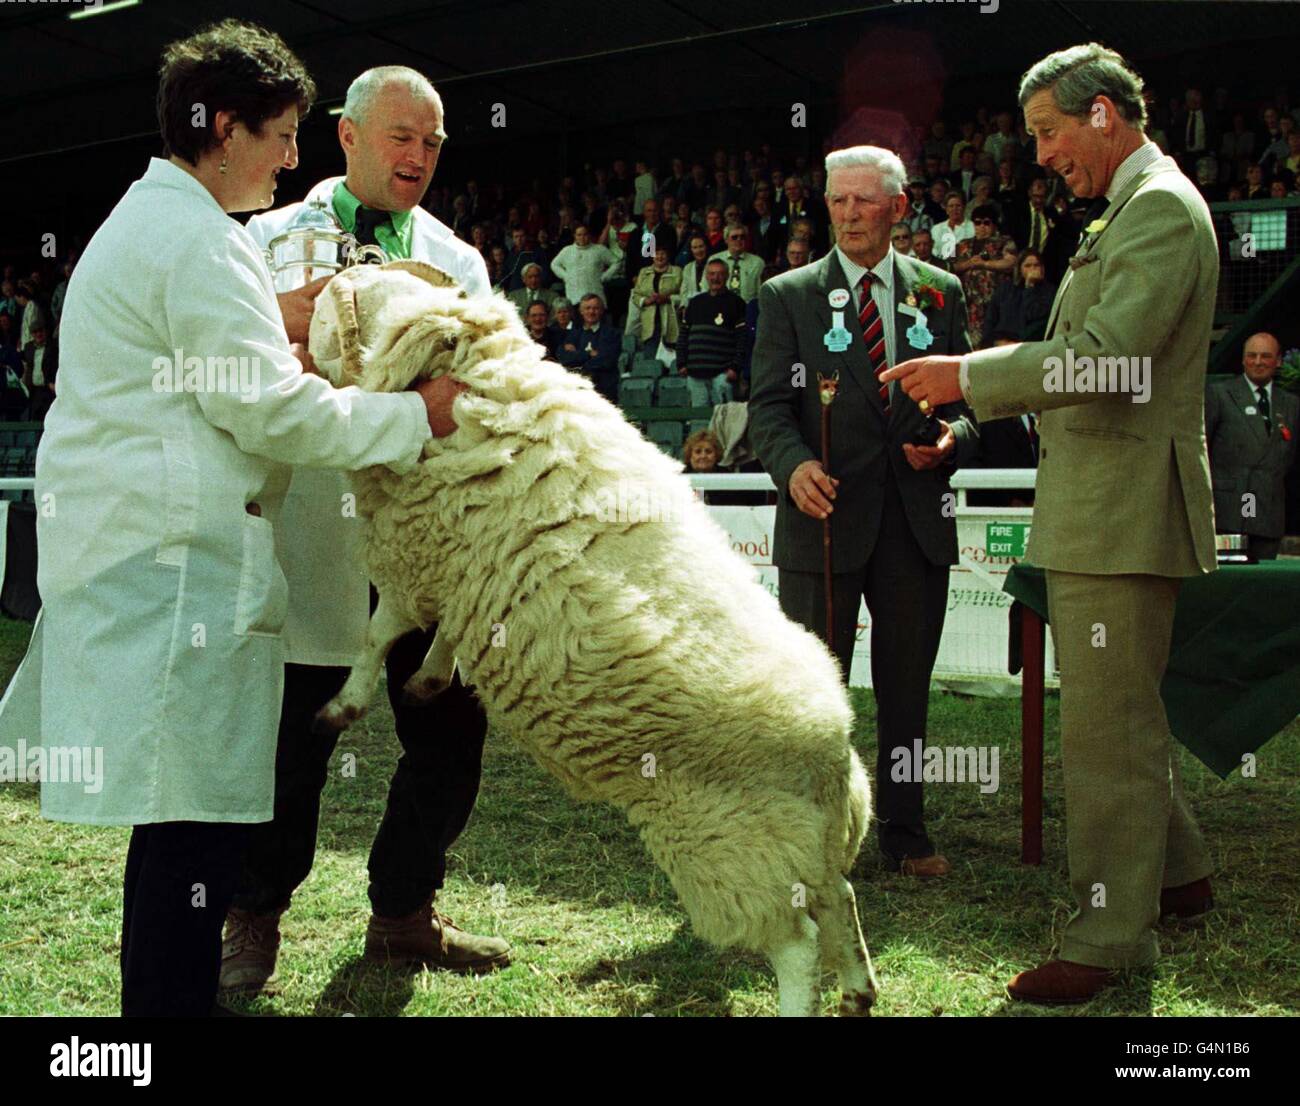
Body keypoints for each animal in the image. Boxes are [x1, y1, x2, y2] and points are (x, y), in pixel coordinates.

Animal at [307, 260, 877, 1017]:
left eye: (351, 297)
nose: (313, 290)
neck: (481, 380)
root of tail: (833, 747)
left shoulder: (414, 554)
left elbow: (378, 634)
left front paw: (344, 705)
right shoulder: (459, 570)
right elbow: (441, 635)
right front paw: (429, 678)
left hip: (728, 847)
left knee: (798, 942)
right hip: (806, 847)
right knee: (839, 901)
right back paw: (860, 989)